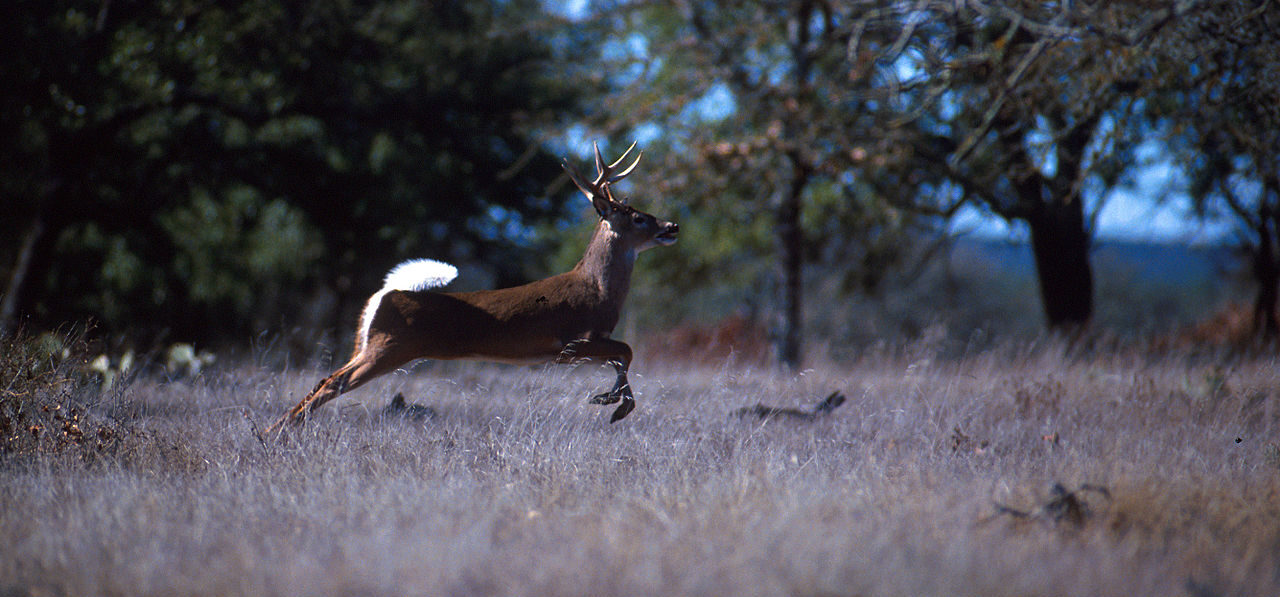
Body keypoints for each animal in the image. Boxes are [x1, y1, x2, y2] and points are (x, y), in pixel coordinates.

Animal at [266, 142, 677, 433]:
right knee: (332, 382)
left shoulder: (581, 346)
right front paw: (616, 404)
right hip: (388, 348)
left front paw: (610, 399)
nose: (671, 226)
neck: (598, 290)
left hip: (368, 345)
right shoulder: (571, 343)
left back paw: (276, 431)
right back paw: (276, 433)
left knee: (325, 378)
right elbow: (626, 350)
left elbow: (622, 356)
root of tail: (386, 294)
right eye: (639, 218)